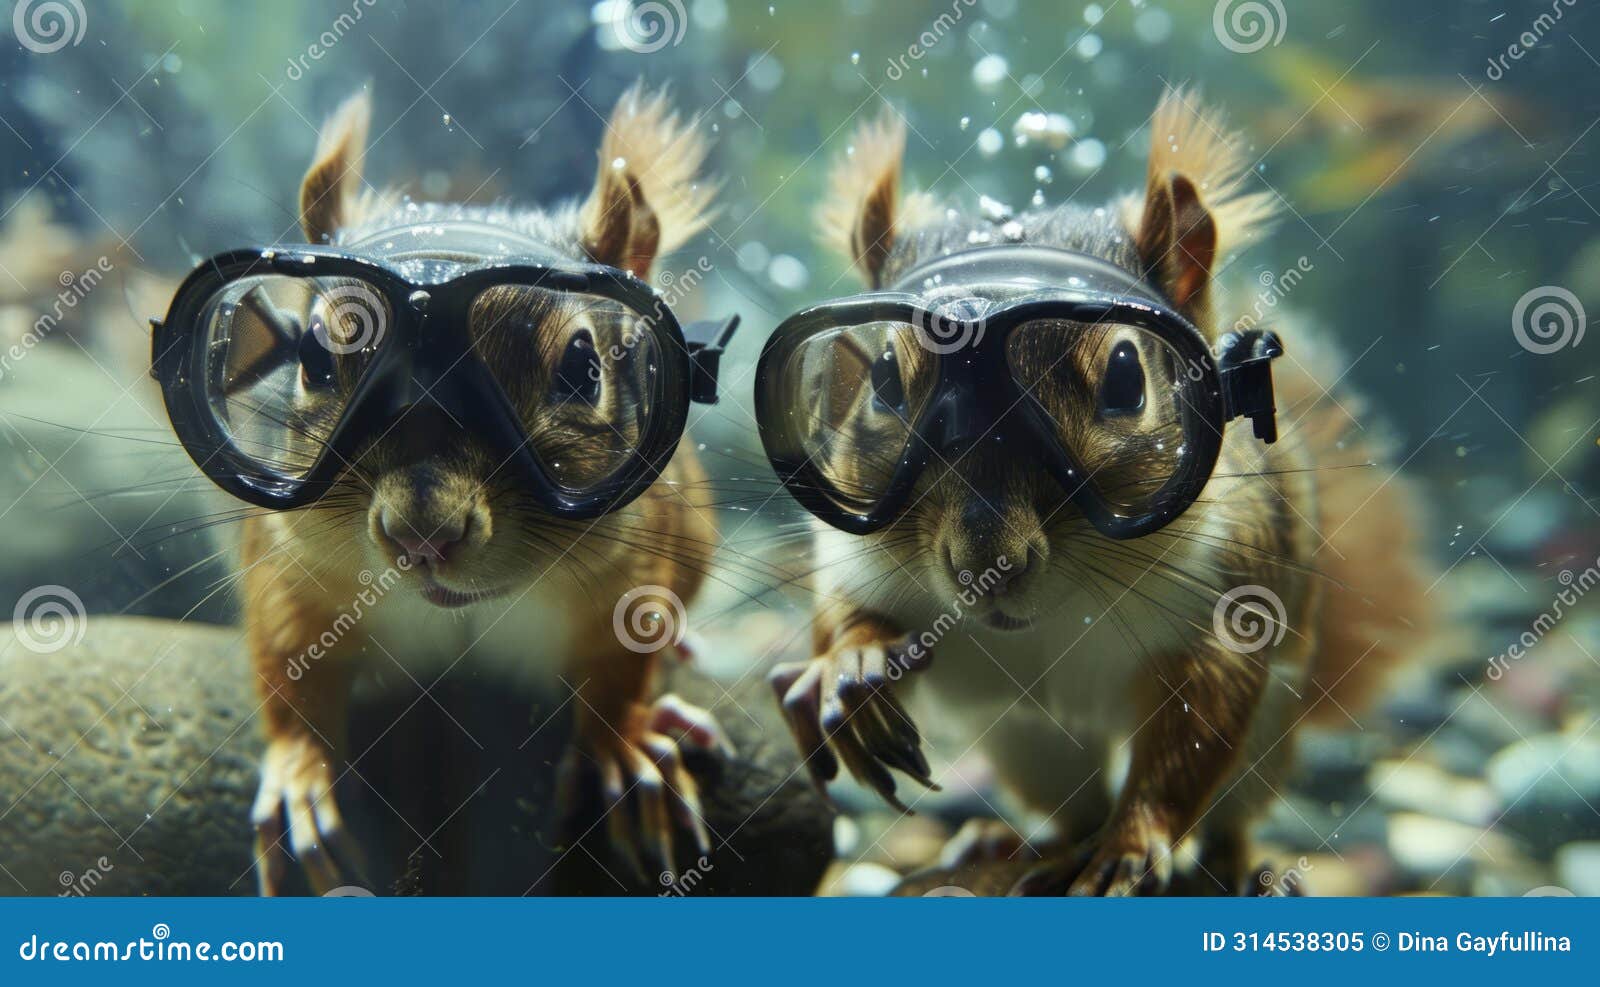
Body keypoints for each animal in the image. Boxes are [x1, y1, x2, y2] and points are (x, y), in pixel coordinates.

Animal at [238, 84, 729, 894]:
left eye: (583, 369)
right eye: (313, 356)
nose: (422, 532)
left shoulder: (633, 573)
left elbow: (619, 672)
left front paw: (627, 750)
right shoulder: (291, 568)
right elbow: (286, 666)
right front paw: (297, 779)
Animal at [769, 88, 1434, 896]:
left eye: (1126, 379)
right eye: (885, 383)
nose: (985, 565)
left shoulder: (1225, 604)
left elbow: (1188, 739)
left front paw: (1131, 844)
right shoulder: (857, 559)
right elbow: (843, 614)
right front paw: (850, 671)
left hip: (1266, 747)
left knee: (1228, 811)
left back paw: (1233, 864)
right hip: (1032, 749)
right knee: (1072, 810)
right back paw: (1006, 844)